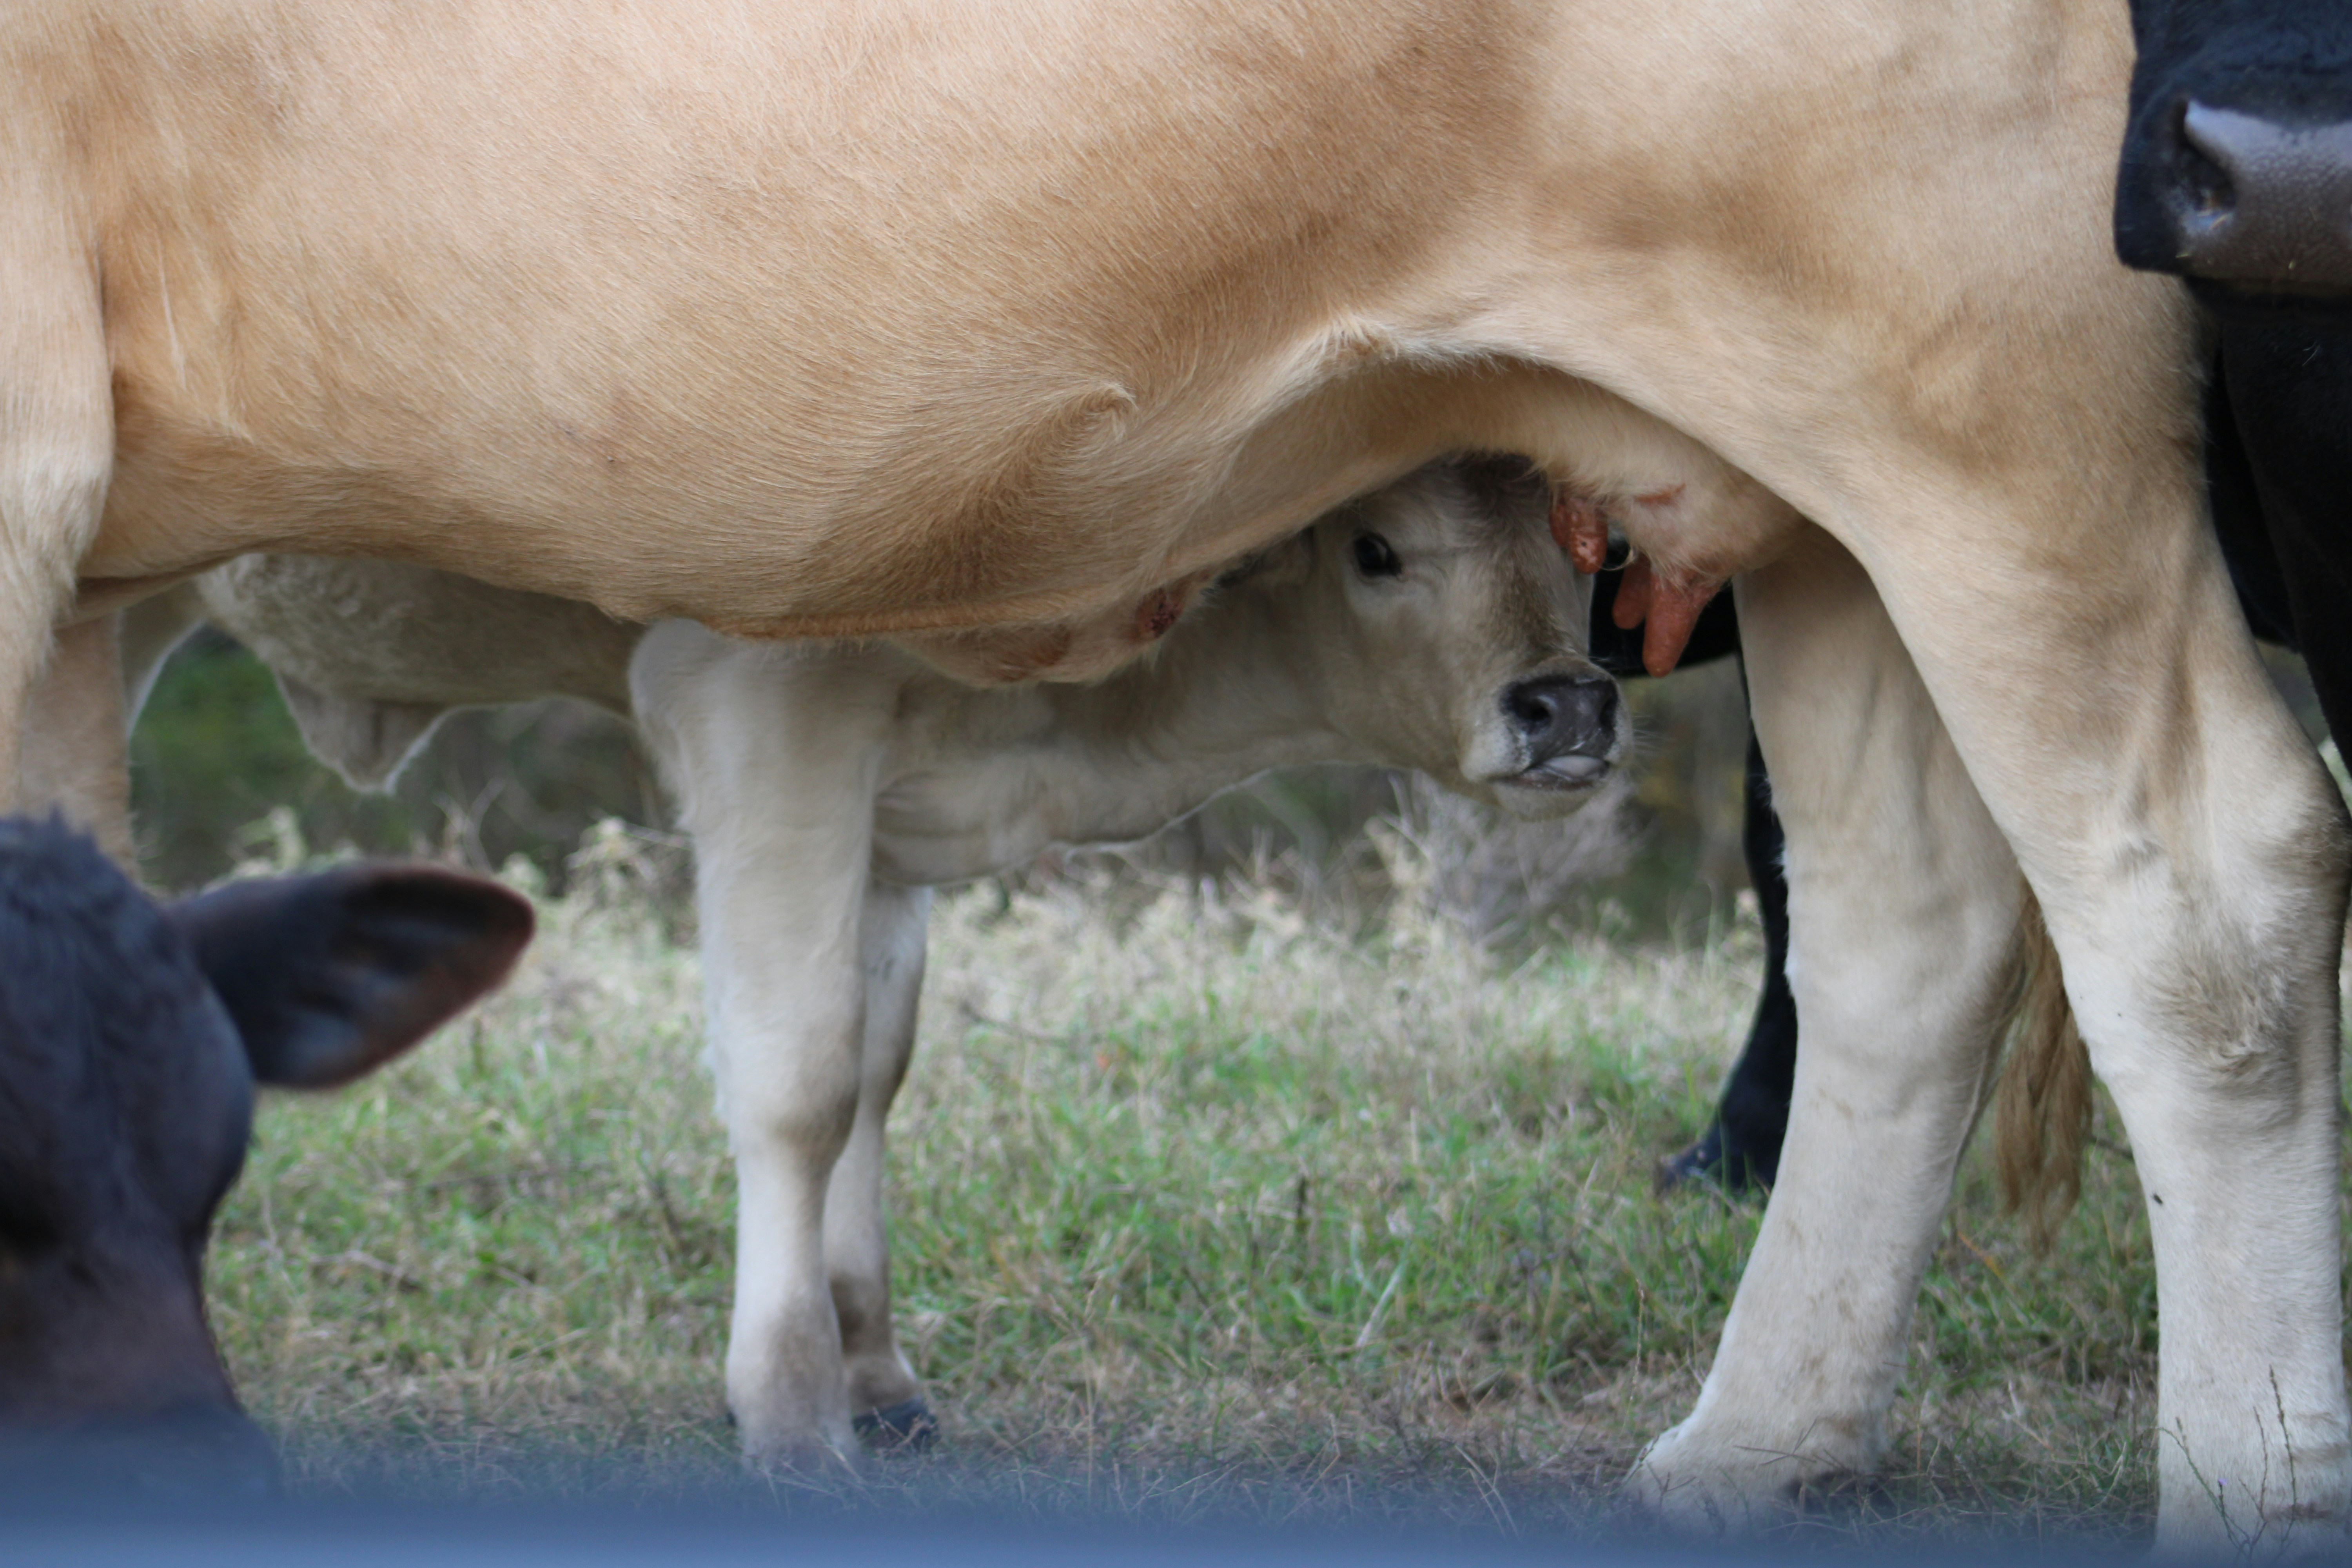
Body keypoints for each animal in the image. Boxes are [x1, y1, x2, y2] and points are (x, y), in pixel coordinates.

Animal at [131, 456, 1628, 1466]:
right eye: (1376, 549)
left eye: (1585, 556)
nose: (1567, 703)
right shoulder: (761, 720)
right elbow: (796, 1082)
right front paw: (793, 1412)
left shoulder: (888, 831)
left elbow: (873, 1072)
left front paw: (875, 1371)